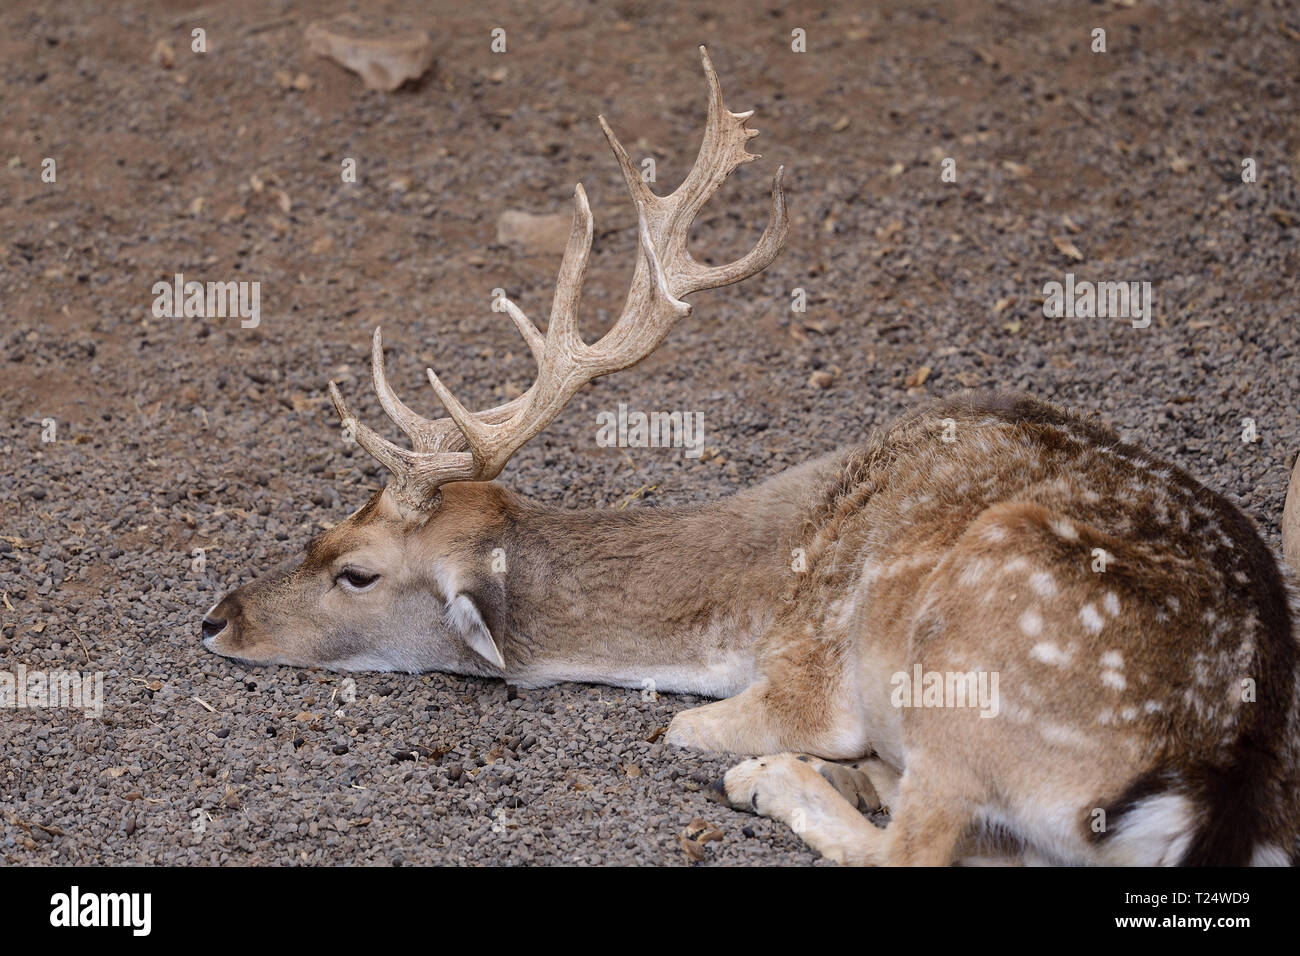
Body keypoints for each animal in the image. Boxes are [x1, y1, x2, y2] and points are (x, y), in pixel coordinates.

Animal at [202, 47, 1300, 867]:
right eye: (325, 524)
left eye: (356, 573)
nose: (216, 617)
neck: (755, 592)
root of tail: (1220, 780)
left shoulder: (803, 677)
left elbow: (696, 724)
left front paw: (777, 762)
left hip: (972, 657)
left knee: (914, 846)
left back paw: (784, 781)